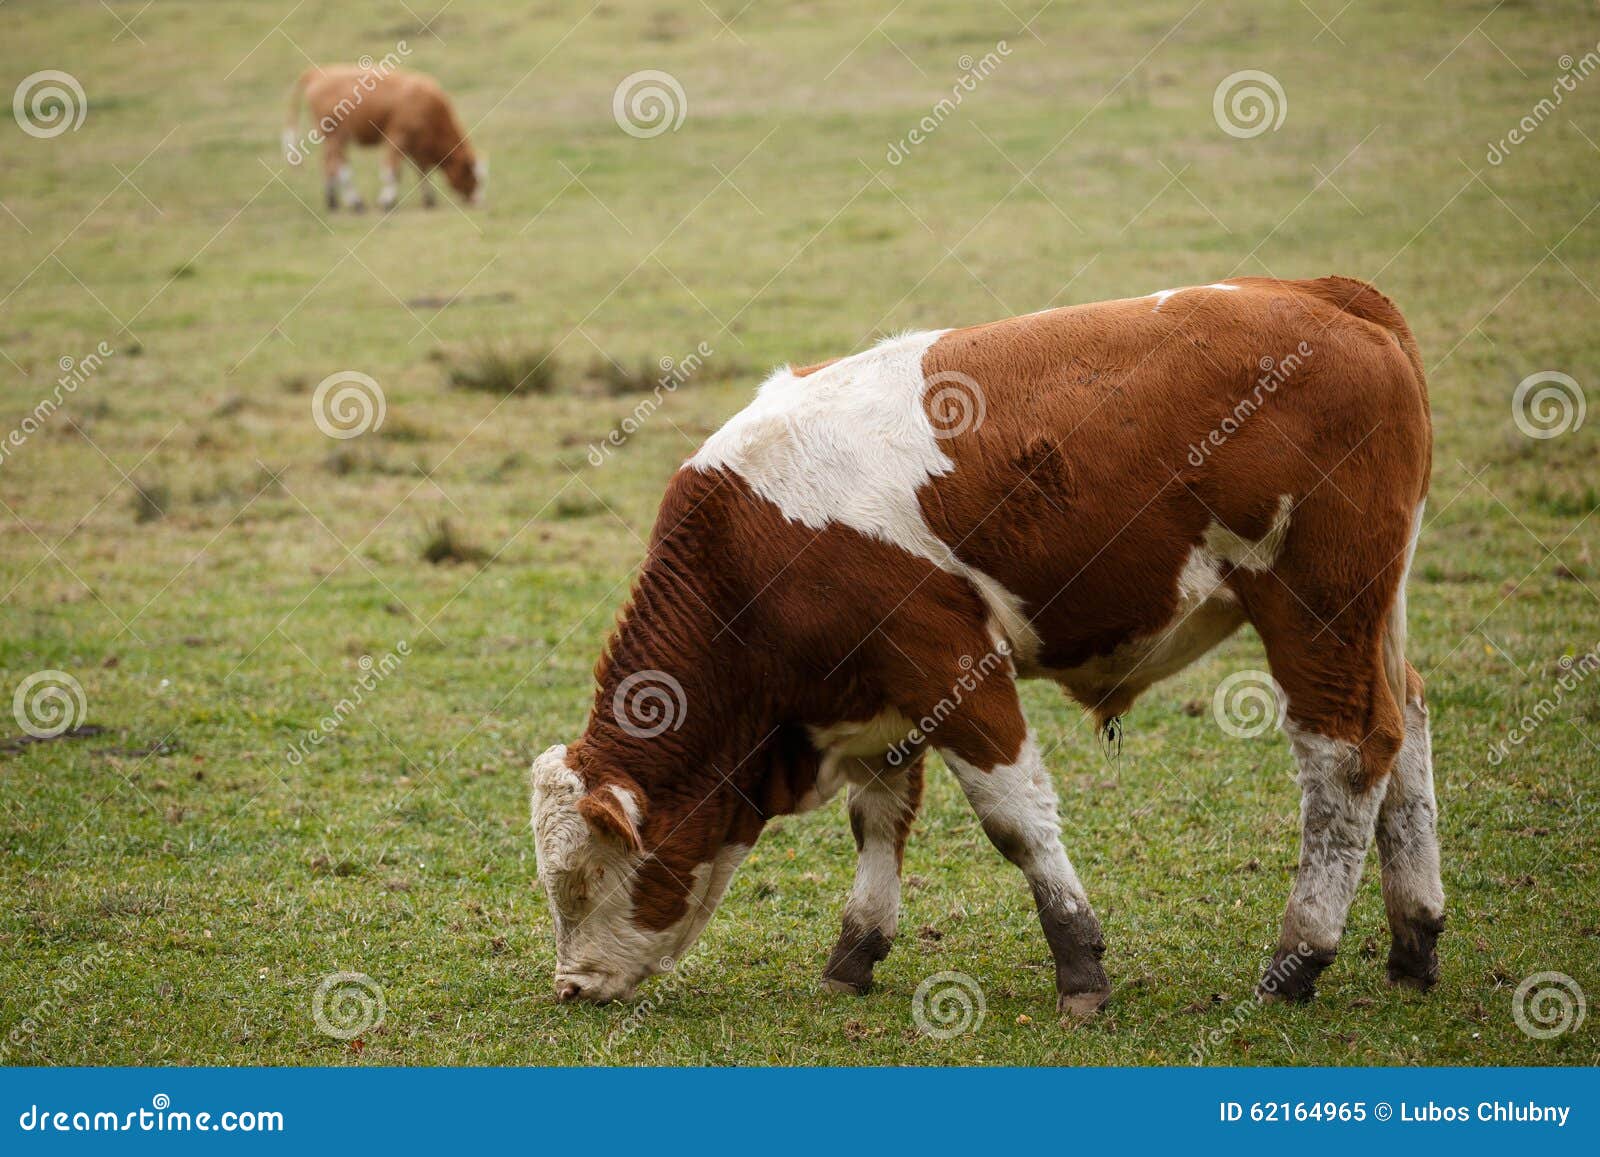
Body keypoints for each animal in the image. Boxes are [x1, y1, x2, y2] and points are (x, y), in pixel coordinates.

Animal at [283, 65, 485, 211]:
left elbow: (422, 172)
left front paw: (429, 201)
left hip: (332, 138)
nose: (478, 201)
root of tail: (315, 74)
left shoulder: (416, 147)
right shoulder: (397, 138)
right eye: (471, 173)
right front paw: (387, 201)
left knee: (328, 165)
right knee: (339, 166)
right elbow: (392, 172)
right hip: (337, 136)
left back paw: (332, 201)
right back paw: (356, 203)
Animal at [529, 275, 1443, 1019]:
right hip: (1376, 608)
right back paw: (1415, 942)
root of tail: (1333, 298)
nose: (571, 986)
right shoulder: (877, 689)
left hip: (1314, 607)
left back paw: (1299, 958)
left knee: (1346, 754)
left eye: (588, 875)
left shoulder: (950, 663)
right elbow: (879, 816)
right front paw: (855, 952)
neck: (748, 550)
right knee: (1406, 729)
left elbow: (1015, 819)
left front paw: (1079, 964)